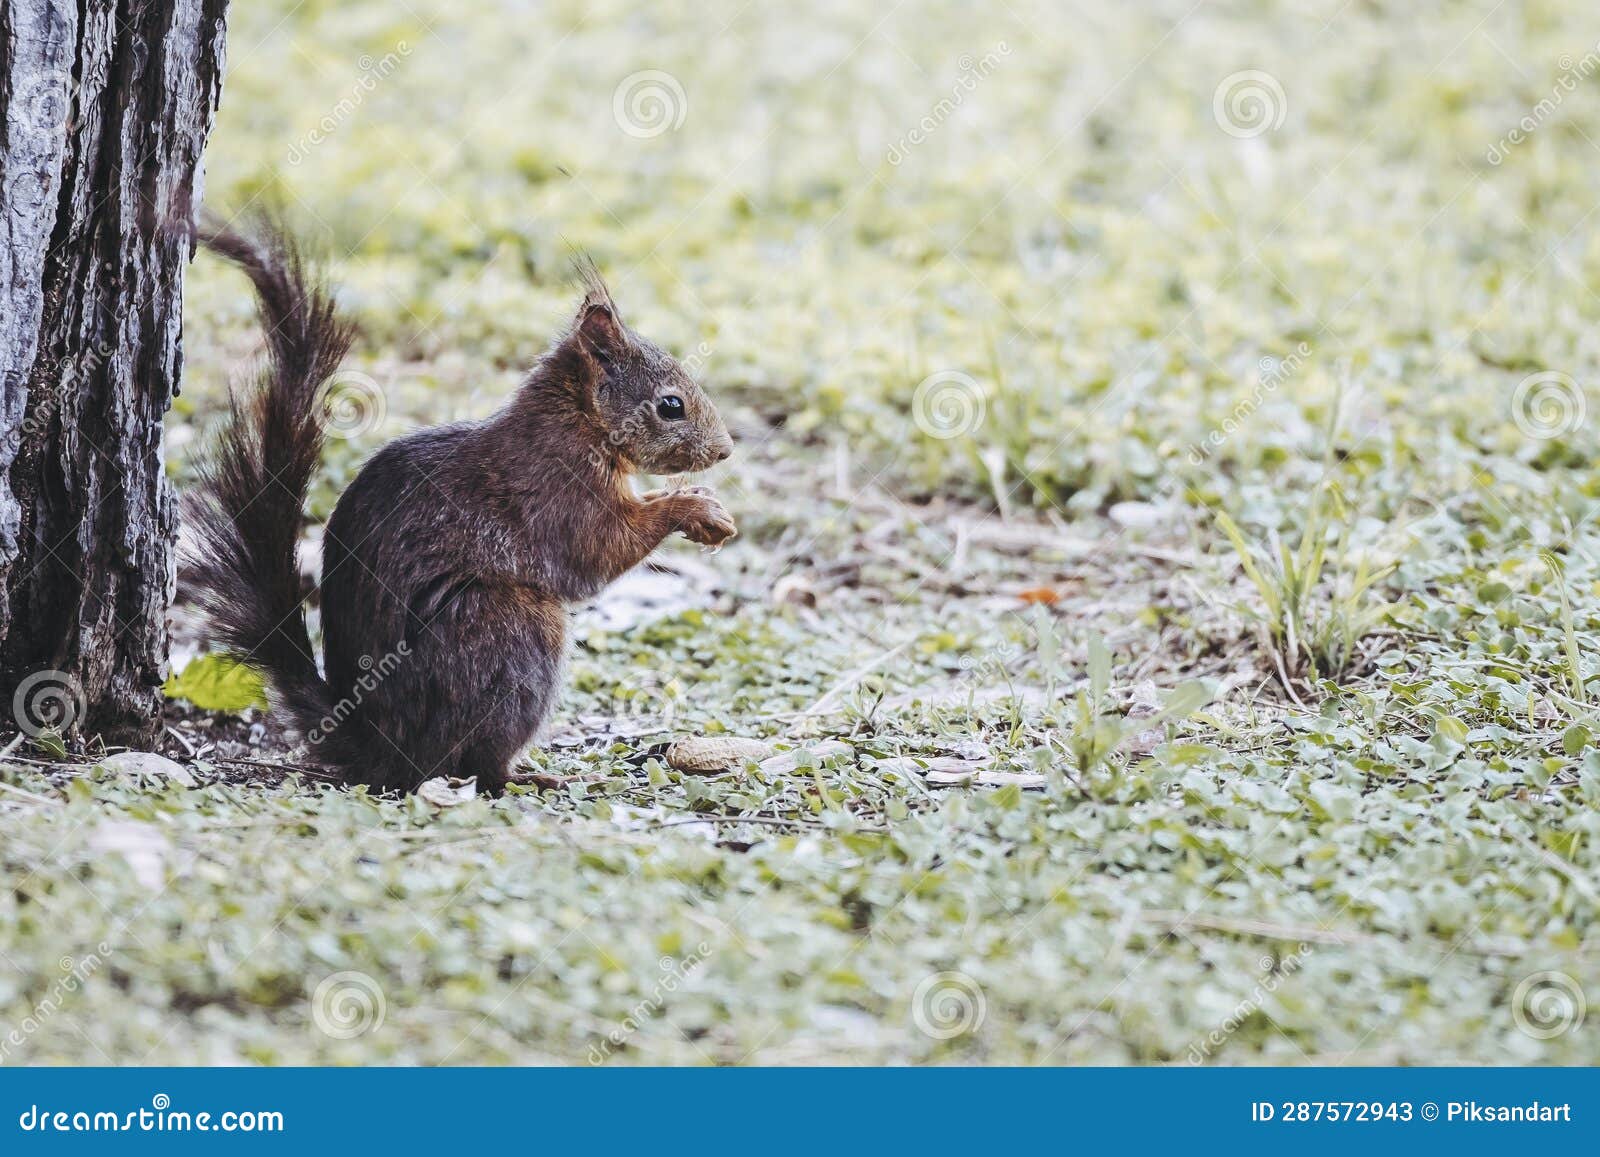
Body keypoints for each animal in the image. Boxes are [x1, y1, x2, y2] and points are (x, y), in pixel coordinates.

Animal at [184, 218, 736, 795]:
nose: (724, 450)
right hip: (506, 633)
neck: (578, 422)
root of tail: (381, 746)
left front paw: (703, 502)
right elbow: (599, 551)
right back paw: (532, 776)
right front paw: (691, 510)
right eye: (670, 405)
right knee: (470, 766)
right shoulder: (560, 495)